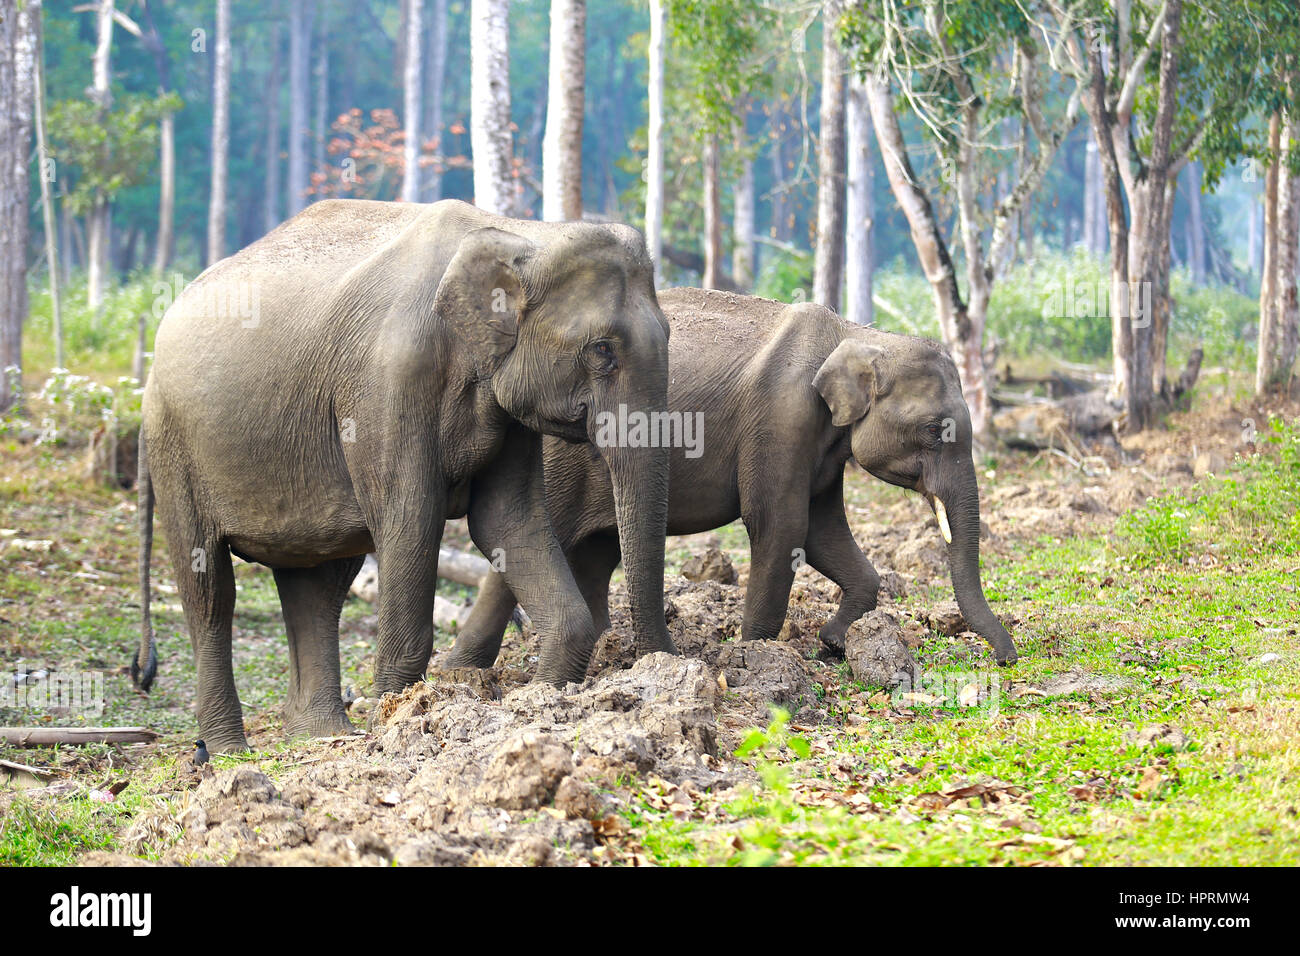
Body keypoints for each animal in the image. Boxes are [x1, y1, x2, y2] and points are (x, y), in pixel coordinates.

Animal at [132, 198, 675, 753]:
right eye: (602, 350)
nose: (653, 662)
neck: (524, 233)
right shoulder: (390, 382)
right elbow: (411, 522)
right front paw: (398, 719)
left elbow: (506, 521)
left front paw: (539, 699)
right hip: (174, 445)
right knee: (210, 587)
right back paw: (229, 751)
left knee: (318, 585)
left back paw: (322, 737)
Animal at [447, 287, 1018, 669]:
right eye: (935, 430)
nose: (1007, 659)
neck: (858, 334)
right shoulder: (782, 417)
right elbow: (780, 526)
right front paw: (757, 660)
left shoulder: (819, 444)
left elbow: (822, 531)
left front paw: (833, 644)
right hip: (556, 464)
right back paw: (467, 676)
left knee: (596, 553)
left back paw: (604, 657)